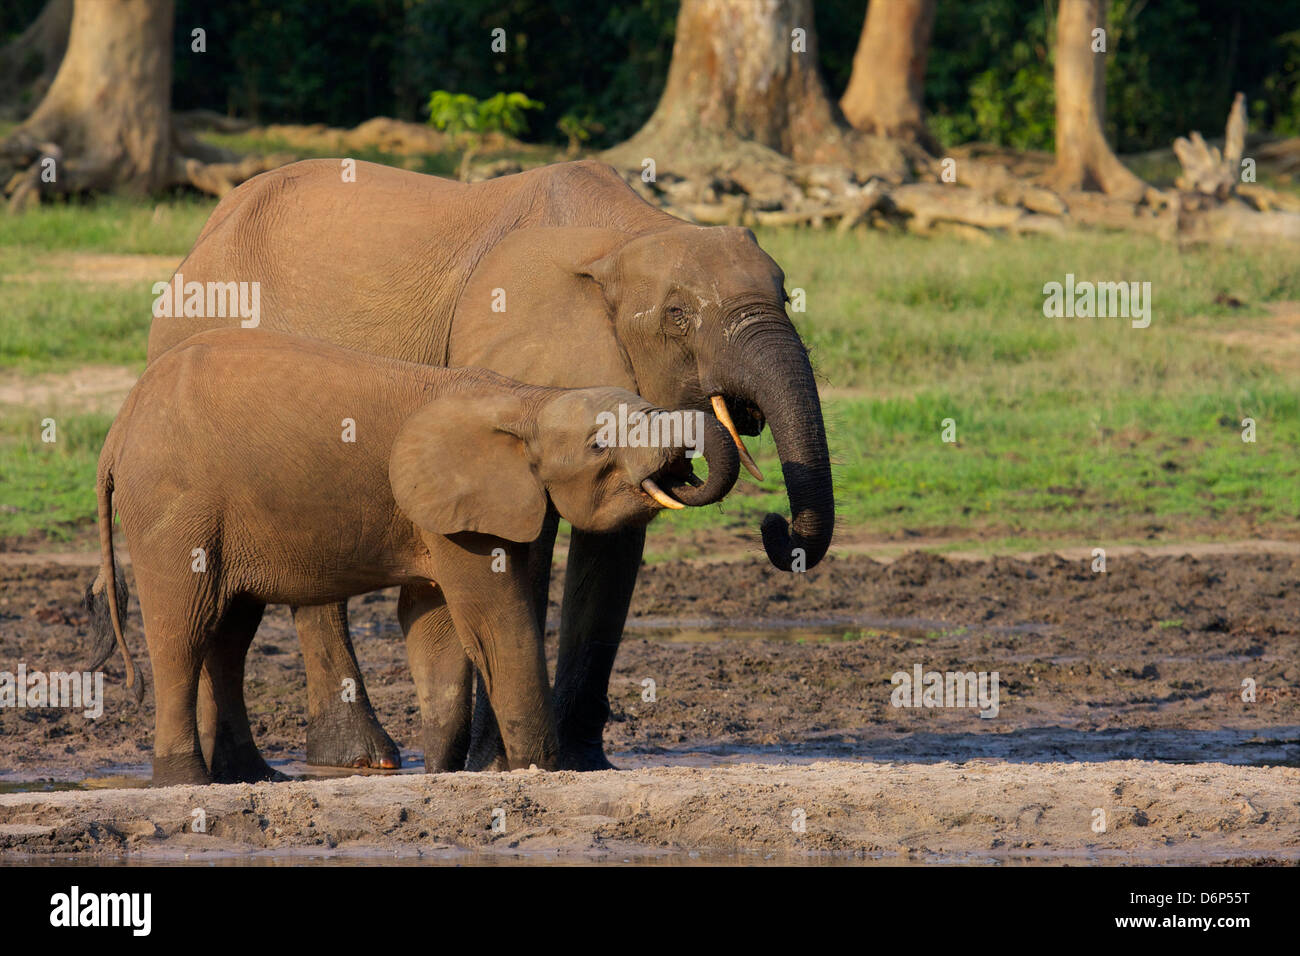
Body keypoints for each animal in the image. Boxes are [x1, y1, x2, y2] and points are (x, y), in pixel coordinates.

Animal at [85, 328, 739, 786]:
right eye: (600, 444)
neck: (525, 400)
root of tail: (117, 430)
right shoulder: (457, 513)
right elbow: (494, 624)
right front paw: (544, 772)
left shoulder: (456, 510)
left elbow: (437, 628)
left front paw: (443, 775)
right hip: (174, 504)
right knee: (184, 628)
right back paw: (188, 782)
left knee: (230, 634)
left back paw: (252, 777)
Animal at [145, 158, 834, 772]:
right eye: (678, 318)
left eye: (787, 297)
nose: (775, 527)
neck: (624, 236)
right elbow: (519, 554)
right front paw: (497, 765)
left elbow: (612, 555)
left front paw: (585, 764)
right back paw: (363, 759)